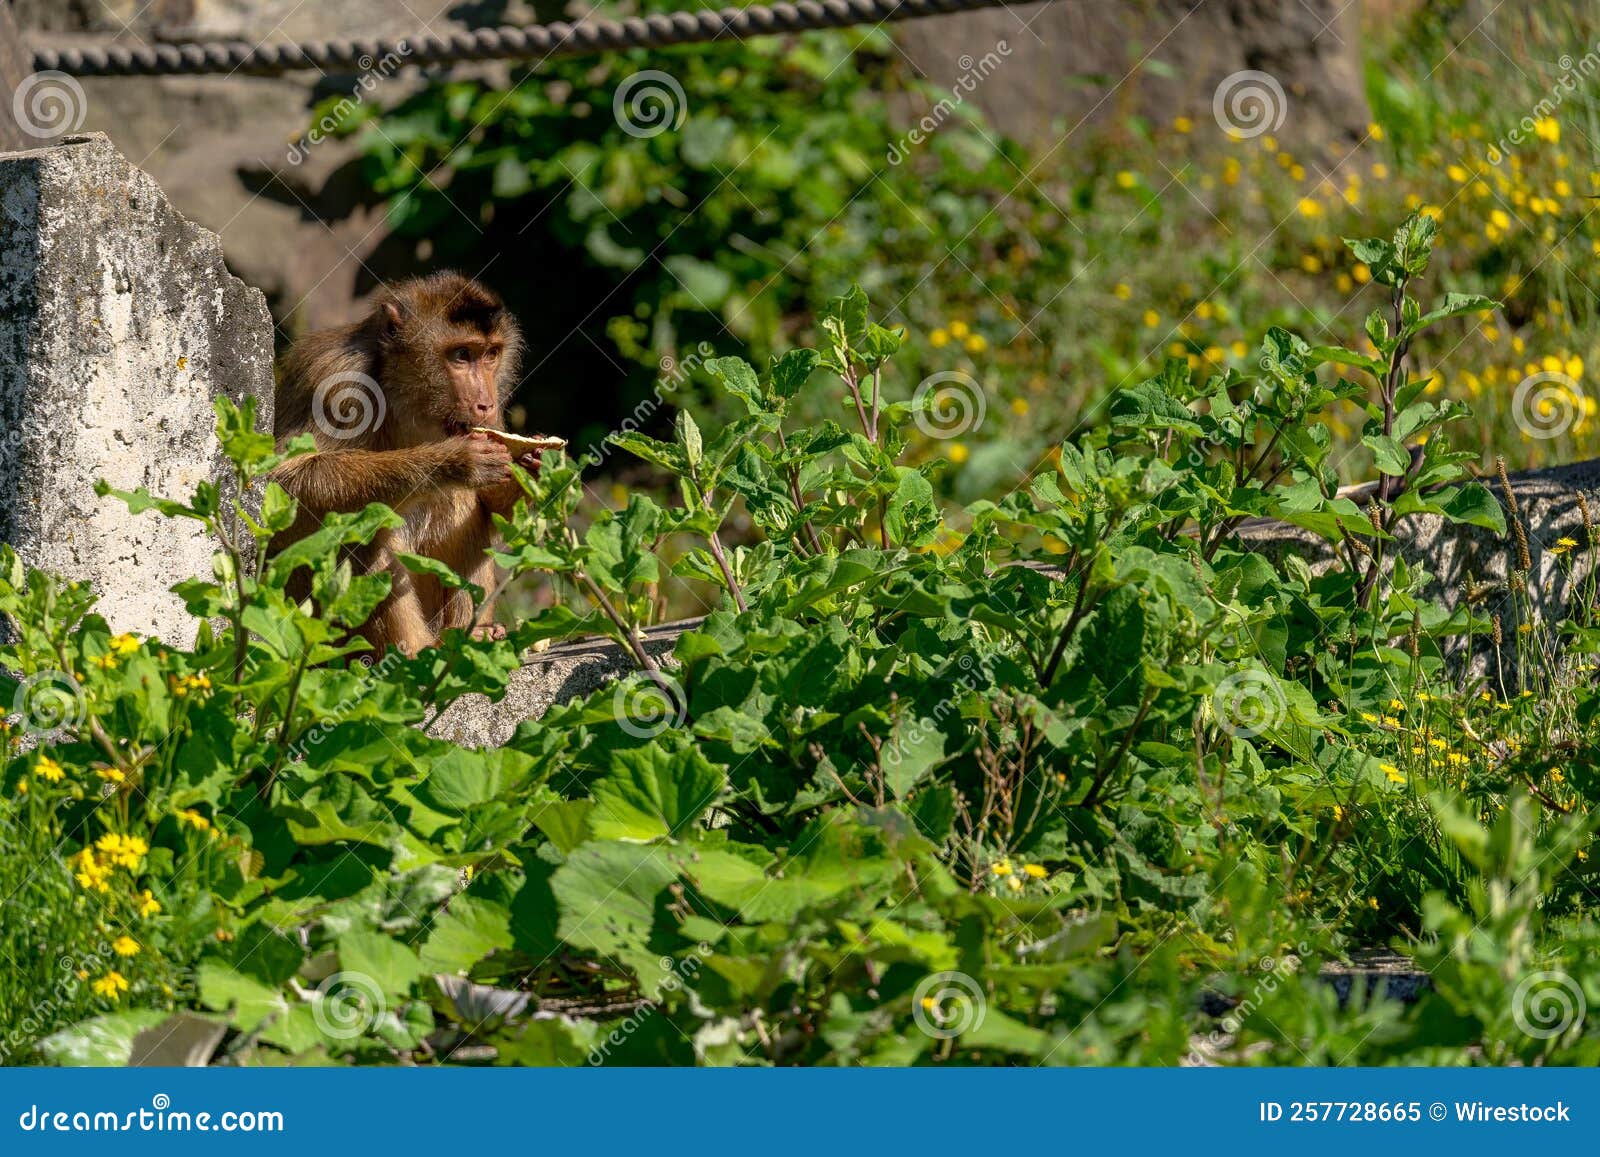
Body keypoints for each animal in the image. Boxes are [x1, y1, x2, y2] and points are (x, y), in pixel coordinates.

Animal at [268, 271, 537, 657]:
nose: (485, 403)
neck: (400, 396)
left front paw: (531, 464)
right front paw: (452, 461)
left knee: (462, 502)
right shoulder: (334, 376)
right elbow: (285, 483)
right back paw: (412, 652)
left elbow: (492, 504)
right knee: (365, 523)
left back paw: (471, 635)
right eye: (461, 355)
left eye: (490, 355)